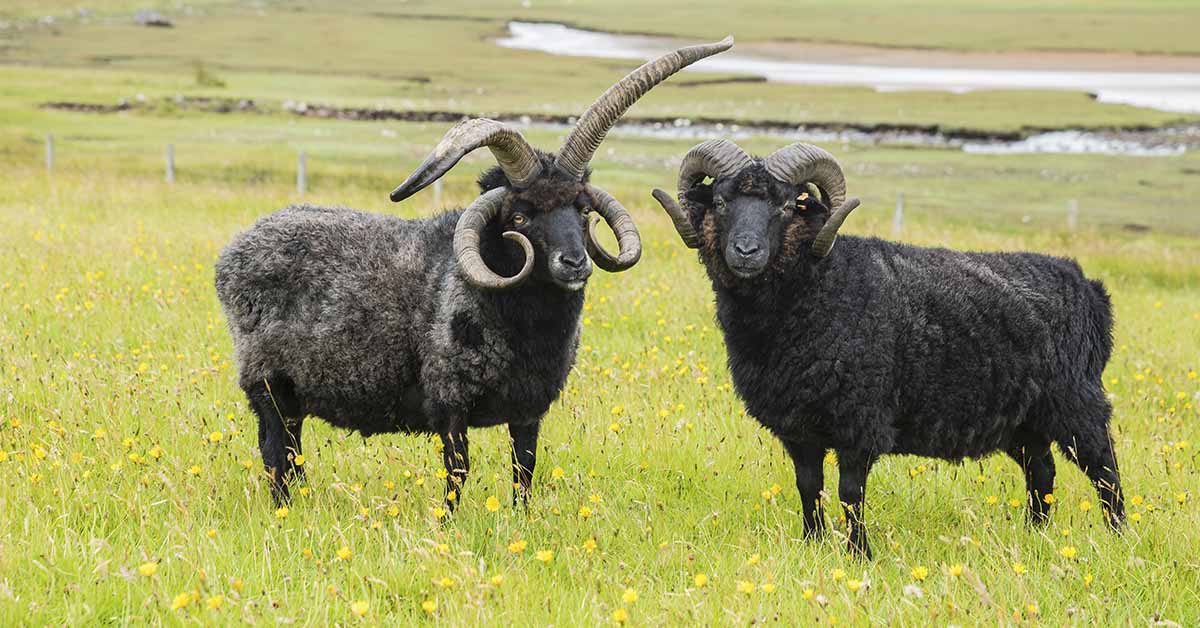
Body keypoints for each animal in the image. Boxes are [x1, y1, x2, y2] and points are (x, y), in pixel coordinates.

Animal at [214, 37, 734, 508]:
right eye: (520, 217)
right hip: (267, 386)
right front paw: (448, 527)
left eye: (583, 210)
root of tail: (233, 251)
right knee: (275, 454)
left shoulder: (529, 408)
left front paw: (521, 524)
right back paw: (285, 510)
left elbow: (524, 471)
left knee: (291, 455)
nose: (573, 263)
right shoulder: (449, 402)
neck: (522, 322)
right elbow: (457, 472)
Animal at [652, 139, 1123, 558]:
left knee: (1104, 470)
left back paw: (1118, 537)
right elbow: (808, 488)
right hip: (1024, 419)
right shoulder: (798, 428)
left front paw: (859, 554)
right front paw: (812, 545)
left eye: (787, 206)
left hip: (1076, 402)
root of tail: (1087, 285)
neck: (819, 286)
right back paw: (1035, 536)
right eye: (720, 202)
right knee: (1041, 472)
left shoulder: (859, 421)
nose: (746, 252)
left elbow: (849, 493)